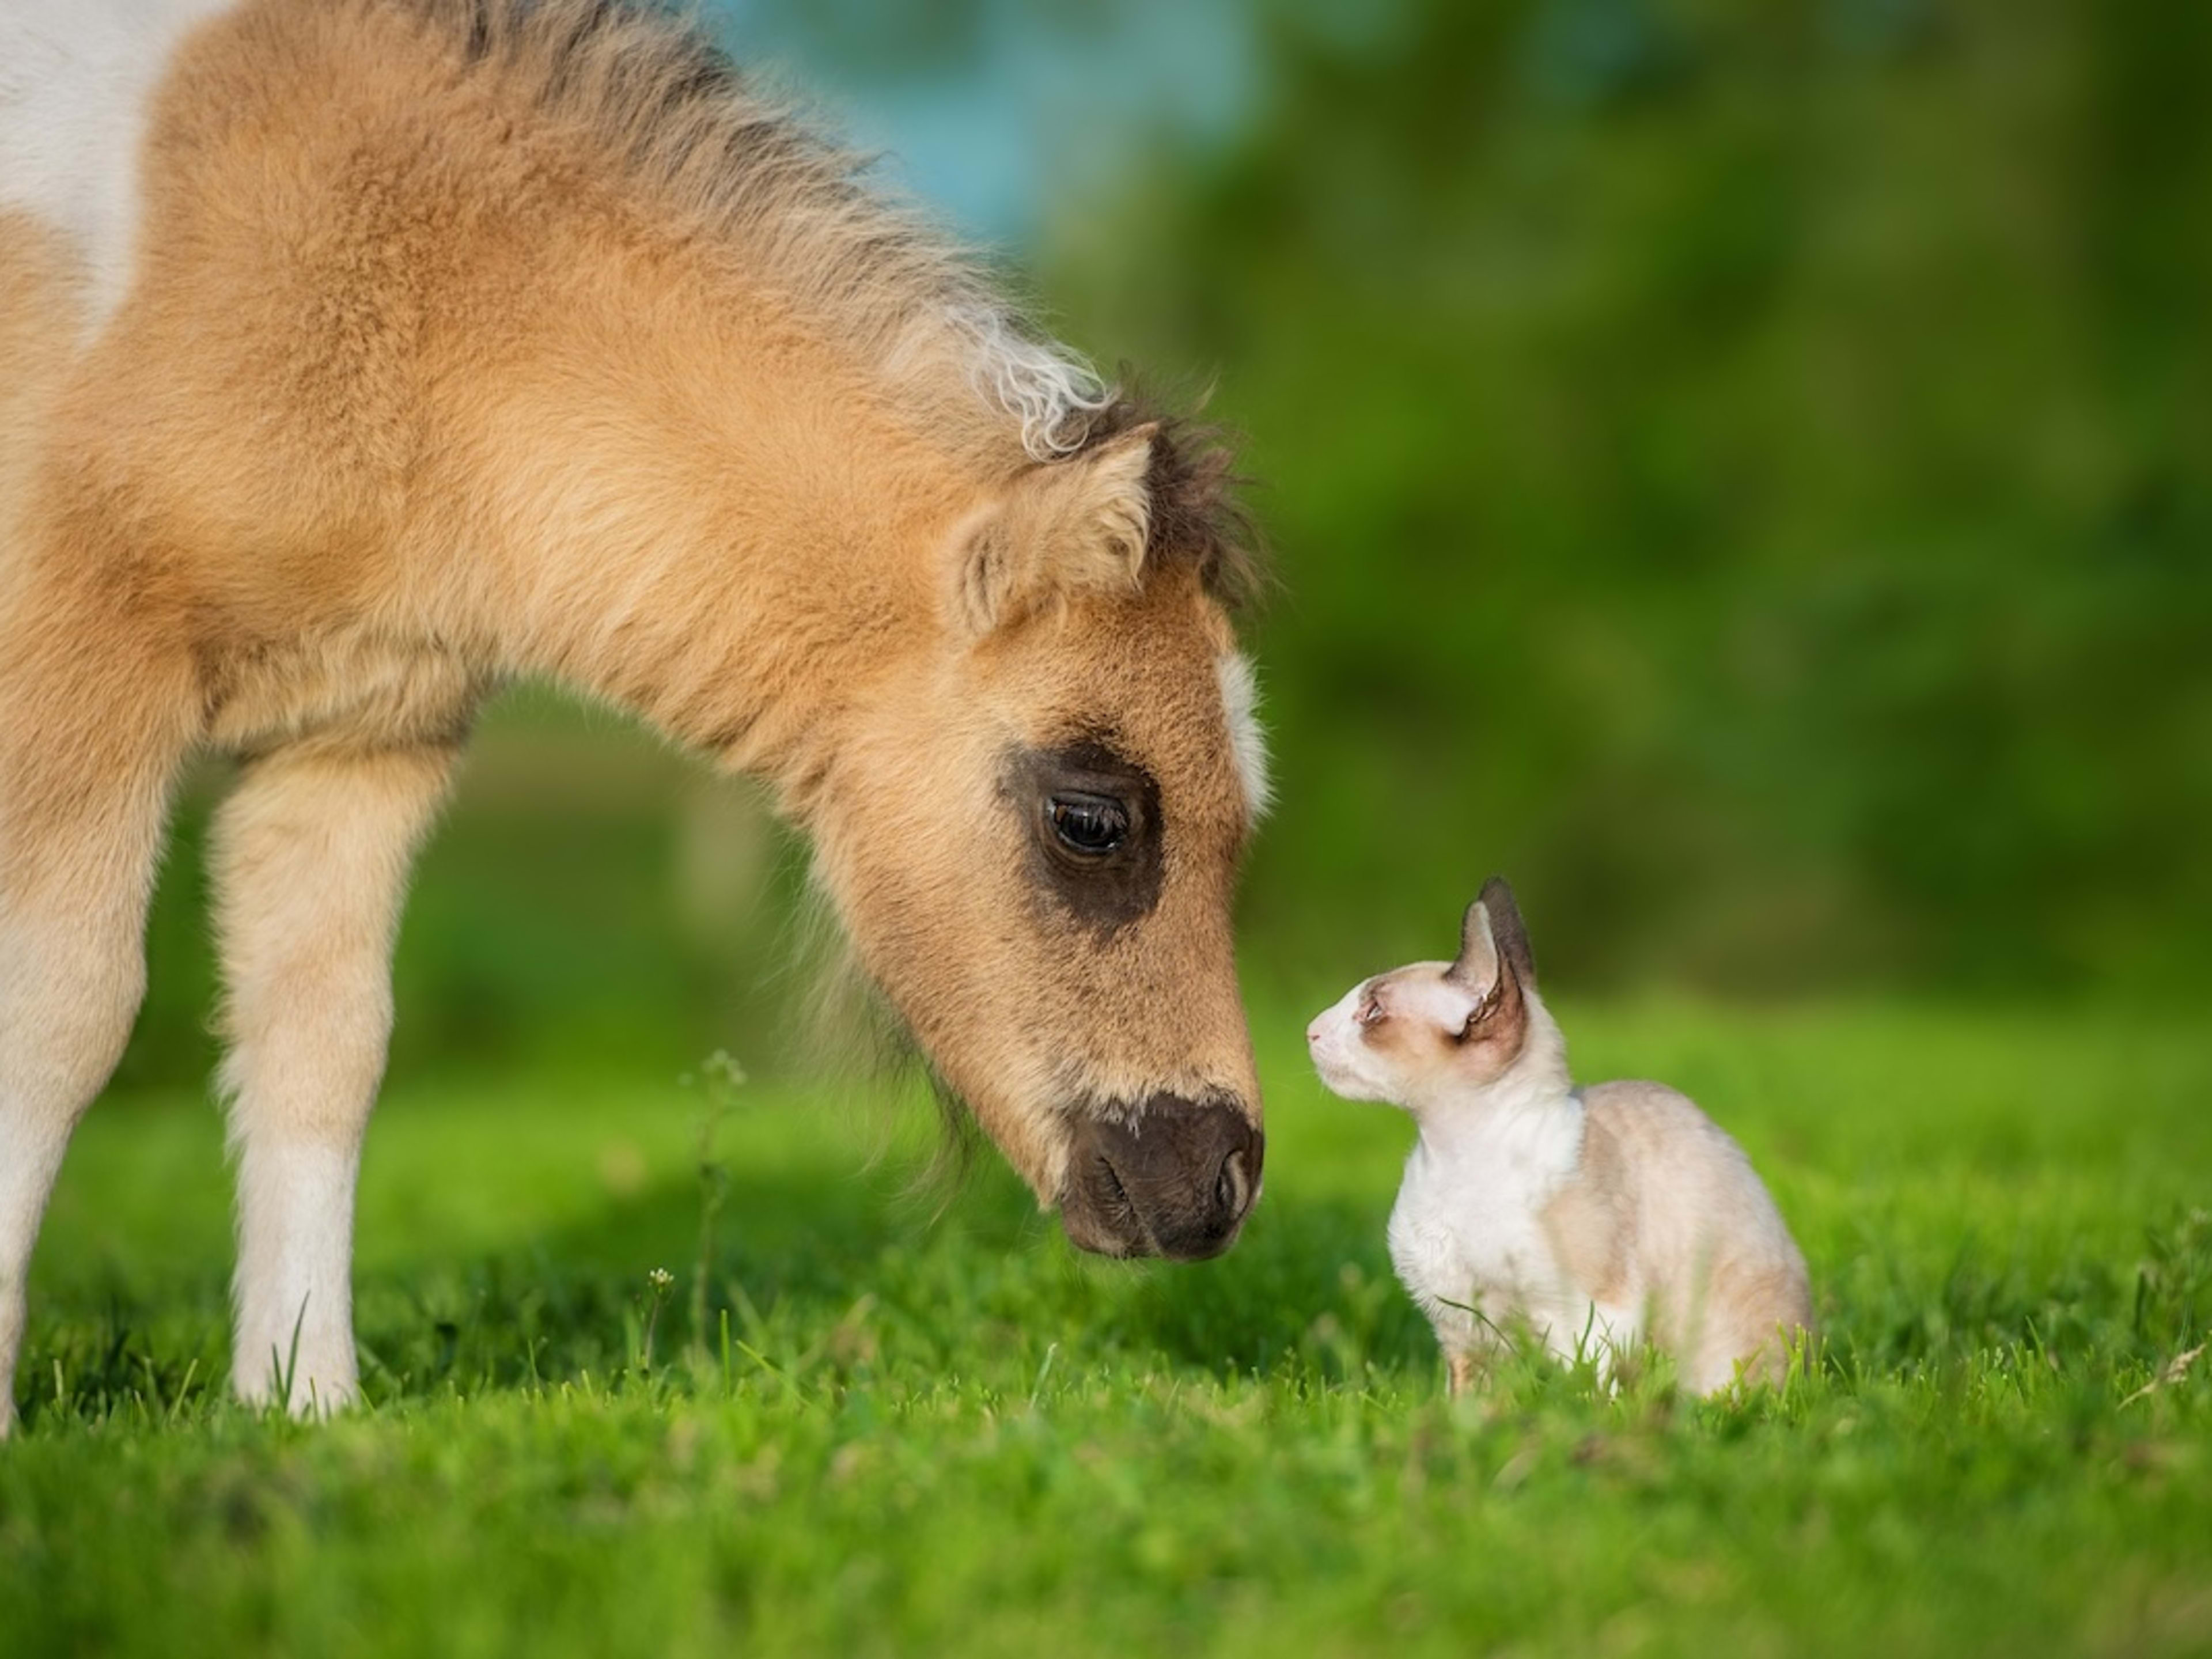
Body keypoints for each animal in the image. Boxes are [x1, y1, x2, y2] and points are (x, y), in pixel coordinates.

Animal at [0, 0, 1271, 1426]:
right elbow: (61, 1017)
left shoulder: (355, 737)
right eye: (1092, 819)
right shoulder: (79, 671)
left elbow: (322, 1048)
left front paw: (304, 1413)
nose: (1219, 1183)